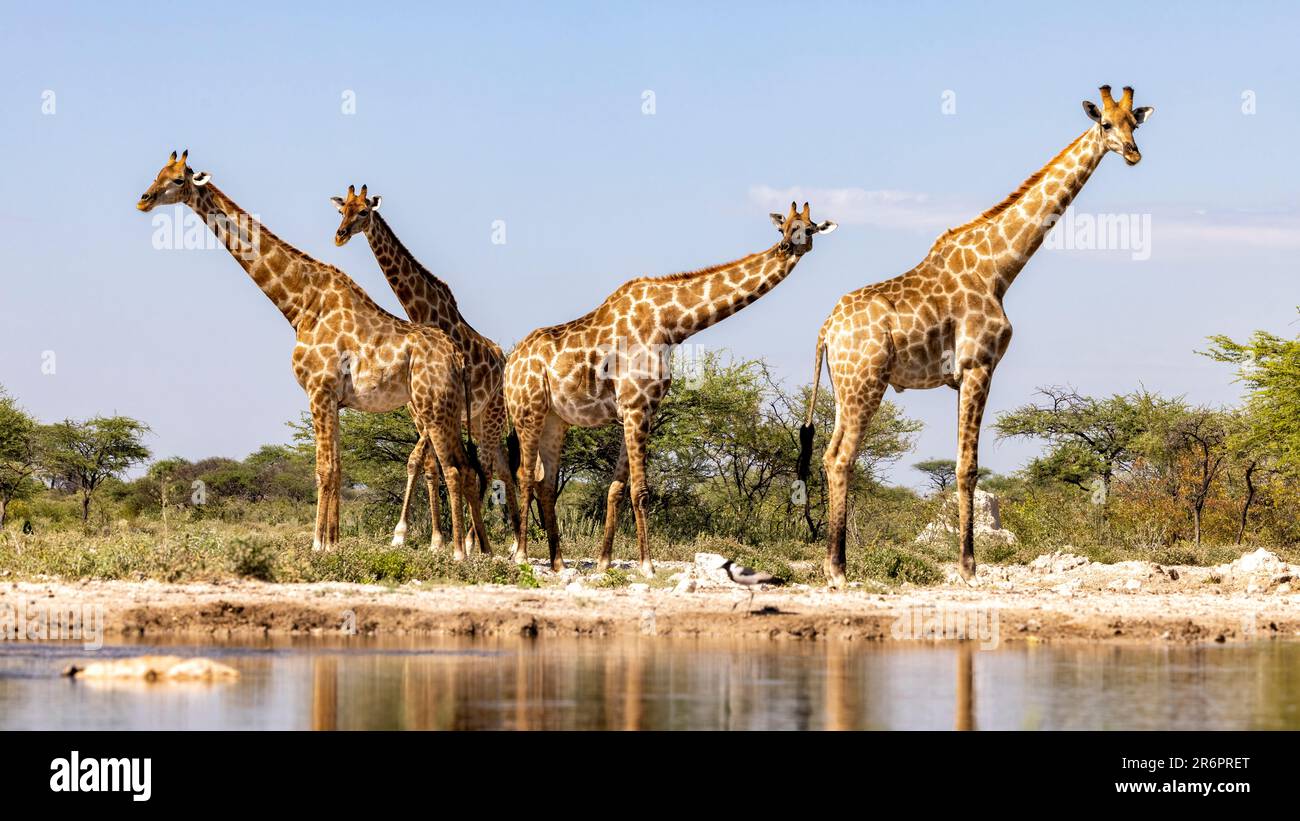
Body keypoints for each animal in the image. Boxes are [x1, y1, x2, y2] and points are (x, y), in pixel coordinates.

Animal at [136, 151, 489, 557]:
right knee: (467, 468)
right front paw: (333, 542)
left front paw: (319, 544)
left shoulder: (318, 390)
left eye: (179, 180)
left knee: (454, 469)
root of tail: (458, 356)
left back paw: (458, 552)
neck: (301, 304)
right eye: (159, 173)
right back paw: (481, 549)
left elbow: (323, 469)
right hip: (445, 408)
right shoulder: (334, 398)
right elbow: (336, 468)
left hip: (433, 407)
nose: (144, 199)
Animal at [330, 184, 521, 556]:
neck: (424, 314)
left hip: (492, 414)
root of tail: (502, 361)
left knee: (490, 466)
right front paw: (429, 538)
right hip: (476, 420)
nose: (340, 235)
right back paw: (504, 543)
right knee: (497, 466)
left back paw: (485, 543)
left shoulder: (436, 409)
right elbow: (425, 464)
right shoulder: (417, 411)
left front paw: (419, 535)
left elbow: (427, 461)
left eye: (364, 212)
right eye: (342, 210)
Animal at [507, 203, 837, 576]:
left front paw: (604, 562)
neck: (672, 325)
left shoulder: (641, 409)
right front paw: (647, 565)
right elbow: (640, 491)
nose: (786, 247)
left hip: (555, 419)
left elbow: (617, 488)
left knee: (545, 482)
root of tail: (510, 362)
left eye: (808, 229)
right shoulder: (635, 406)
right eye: (783, 229)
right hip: (528, 409)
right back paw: (521, 555)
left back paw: (559, 562)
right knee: (525, 474)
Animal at [799, 86, 1155, 588]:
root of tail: (826, 329)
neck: (1000, 269)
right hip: (866, 383)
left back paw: (837, 564)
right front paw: (969, 567)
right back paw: (837, 570)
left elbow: (963, 464)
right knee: (841, 457)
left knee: (831, 453)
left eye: (1134, 123)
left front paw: (967, 563)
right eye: (1105, 123)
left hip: (841, 387)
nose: (1132, 153)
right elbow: (967, 468)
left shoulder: (961, 377)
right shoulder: (978, 365)